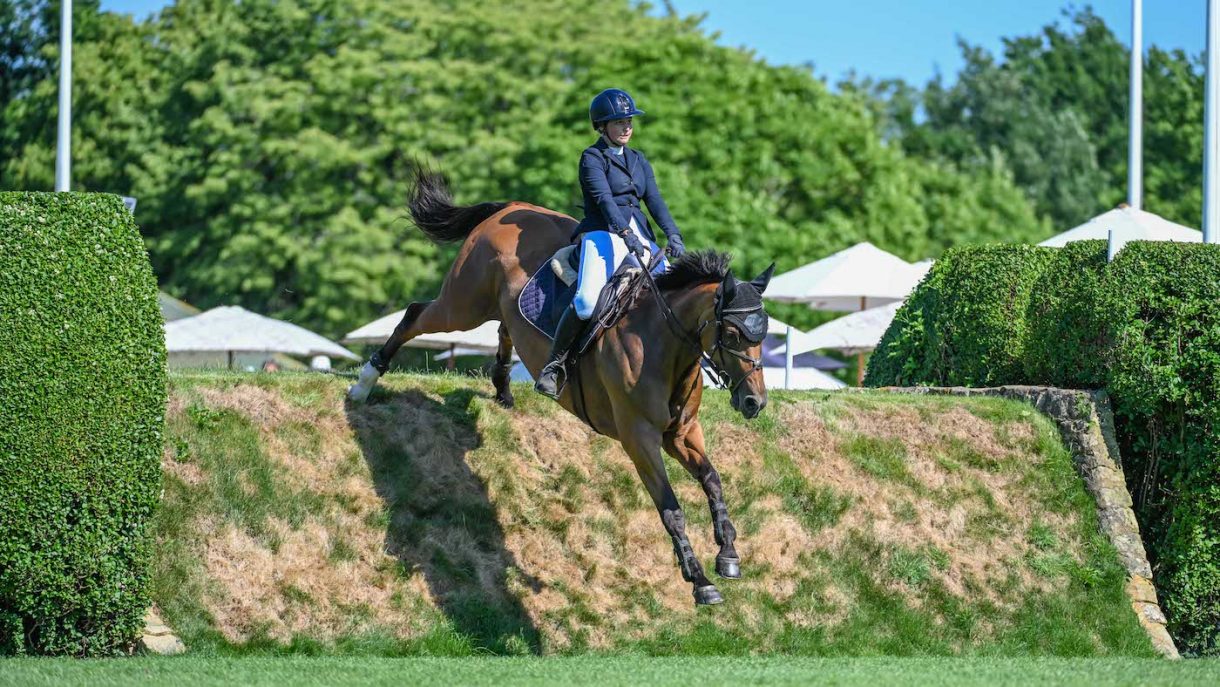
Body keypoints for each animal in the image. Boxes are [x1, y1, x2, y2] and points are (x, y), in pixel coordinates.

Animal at [348, 168, 775, 605]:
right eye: (732, 333)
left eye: (762, 333)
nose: (754, 402)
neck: (661, 343)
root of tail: (513, 208)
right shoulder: (639, 438)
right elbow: (671, 509)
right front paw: (699, 579)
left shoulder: (683, 433)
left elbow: (713, 481)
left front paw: (728, 552)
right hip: (464, 306)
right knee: (417, 315)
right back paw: (365, 383)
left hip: (492, 306)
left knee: (505, 329)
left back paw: (503, 390)